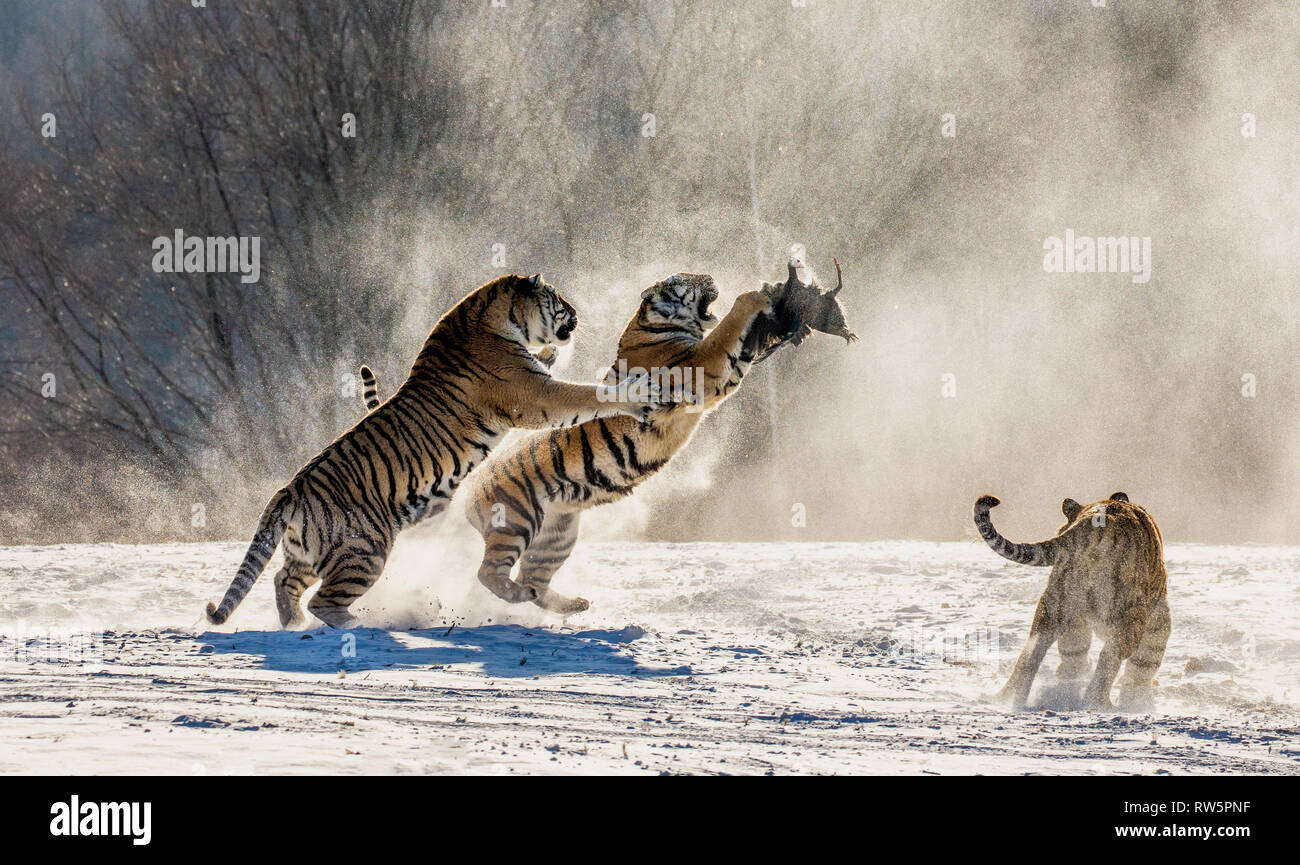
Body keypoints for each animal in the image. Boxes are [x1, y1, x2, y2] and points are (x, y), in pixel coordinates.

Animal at [205, 273, 660, 630]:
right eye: (557, 298)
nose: (577, 312)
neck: (492, 315)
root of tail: (290, 490)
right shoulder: (535, 394)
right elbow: (586, 394)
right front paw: (635, 395)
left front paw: (553, 352)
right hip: (365, 550)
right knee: (325, 601)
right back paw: (369, 624)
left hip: (306, 553)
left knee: (284, 582)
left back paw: (294, 625)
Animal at [974, 492, 1170, 710]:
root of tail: (1095, 523)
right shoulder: (1158, 617)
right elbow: (1145, 663)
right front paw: (1139, 702)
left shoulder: (1075, 619)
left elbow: (1073, 650)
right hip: (1129, 614)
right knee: (1109, 657)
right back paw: (1097, 703)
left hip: (1053, 606)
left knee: (1030, 654)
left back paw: (1010, 699)